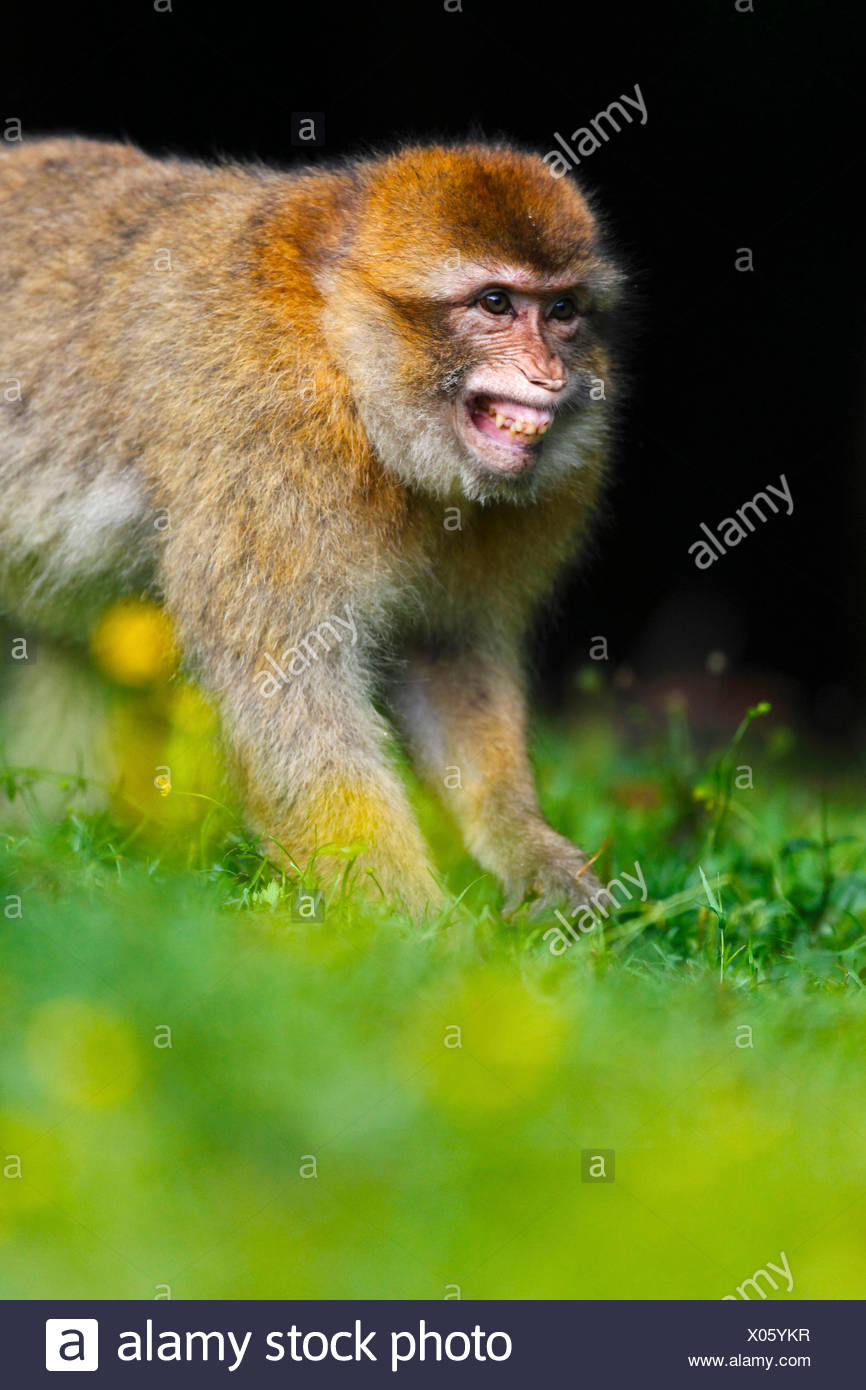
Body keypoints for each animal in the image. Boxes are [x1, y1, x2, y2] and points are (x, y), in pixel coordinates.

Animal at [0, 136, 624, 917]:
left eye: (563, 310)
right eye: (496, 303)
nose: (548, 374)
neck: (342, 352)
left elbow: (446, 649)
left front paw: (528, 848)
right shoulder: (271, 449)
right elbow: (288, 697)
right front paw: (422, 928)